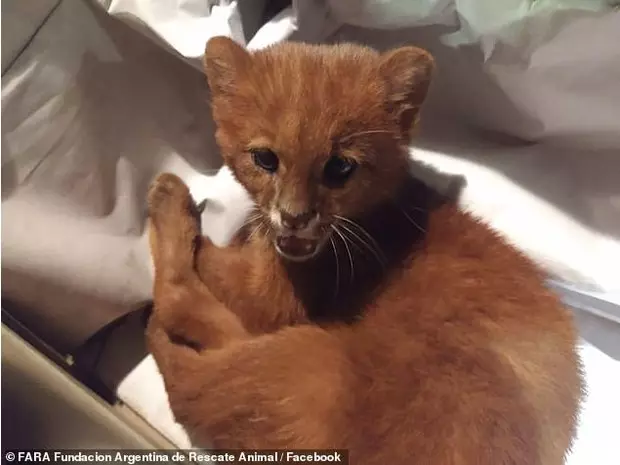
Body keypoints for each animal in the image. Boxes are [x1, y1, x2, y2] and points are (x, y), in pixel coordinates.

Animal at [145, 37, 580, 464]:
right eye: (265, 159)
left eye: (340, 168)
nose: (294, 217)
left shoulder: (270, 300)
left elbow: (208, 260)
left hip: (305, 355)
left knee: (179, 312)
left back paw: (167, 199)